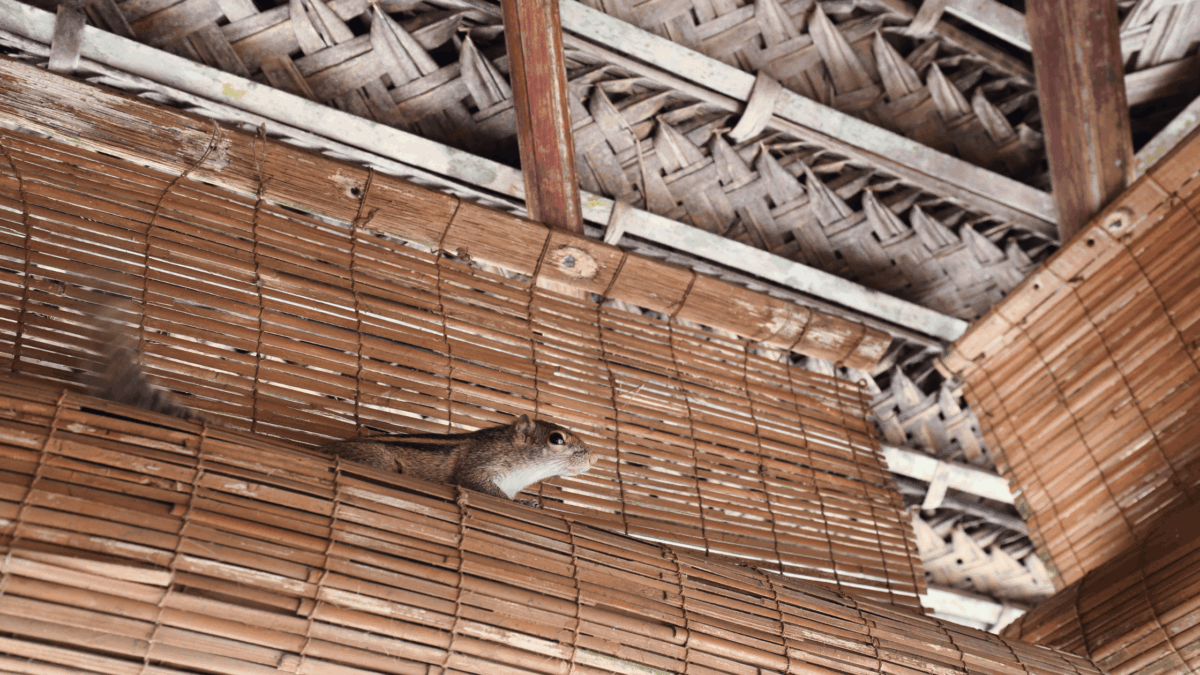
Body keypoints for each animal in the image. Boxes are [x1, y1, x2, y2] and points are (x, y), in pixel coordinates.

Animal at [83, 302, 597, 506]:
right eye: (556, 438)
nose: (592, 456)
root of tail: (324, 452)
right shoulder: (479, 465)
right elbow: (476, 484)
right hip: (380, 461)